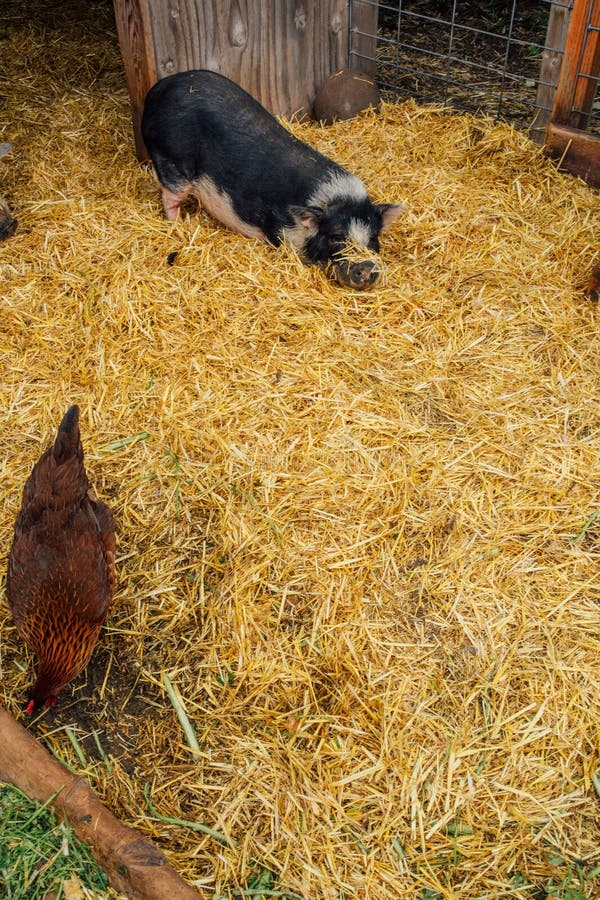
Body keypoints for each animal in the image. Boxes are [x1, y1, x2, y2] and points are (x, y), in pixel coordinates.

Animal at [141, 70, 403, 289]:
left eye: (373, 238)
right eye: (337, 237)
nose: (367, 268)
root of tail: (157, 90)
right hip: (172, 160)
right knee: (170, 195)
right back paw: (178, 224)